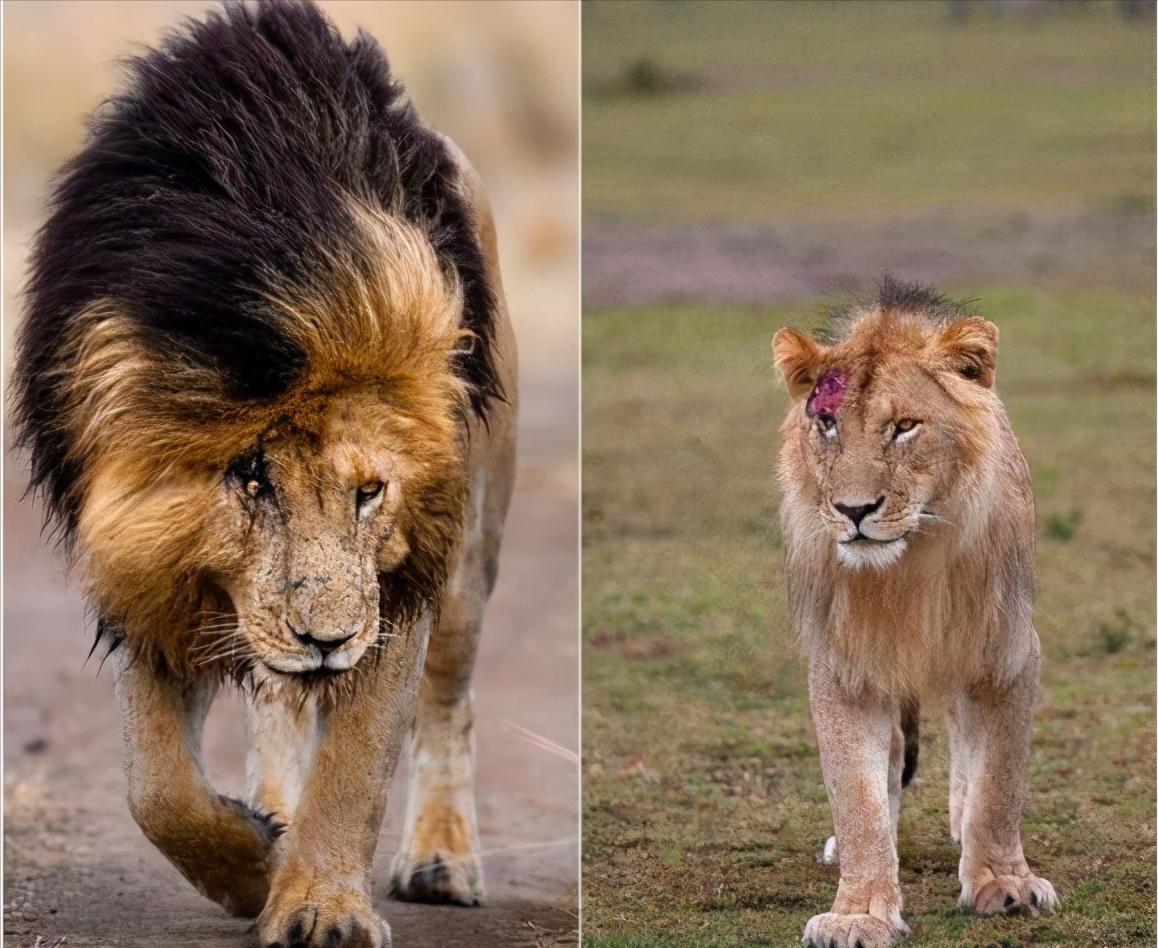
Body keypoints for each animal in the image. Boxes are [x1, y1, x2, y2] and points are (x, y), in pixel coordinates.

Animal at [11, 4, 517, 946]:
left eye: (370, 492)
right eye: (254, 482)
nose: (327, 640)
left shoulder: (397, 583)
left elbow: (357, 761)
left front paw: (322, 905)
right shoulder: (145, 566)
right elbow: (156, 789)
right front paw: (254, 864)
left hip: (472, 549)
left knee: (447, 703)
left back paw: (439, 859)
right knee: (276, 705)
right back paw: (276, 810)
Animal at [772, 278, 1057, 947]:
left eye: (904, 427)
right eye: (827, 423)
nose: (853, 510)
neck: (909, 567)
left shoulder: (1008, 650)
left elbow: (999, 781)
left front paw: (1004, 885)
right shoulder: (846, 666)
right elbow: (858, 798)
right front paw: (859, 912)